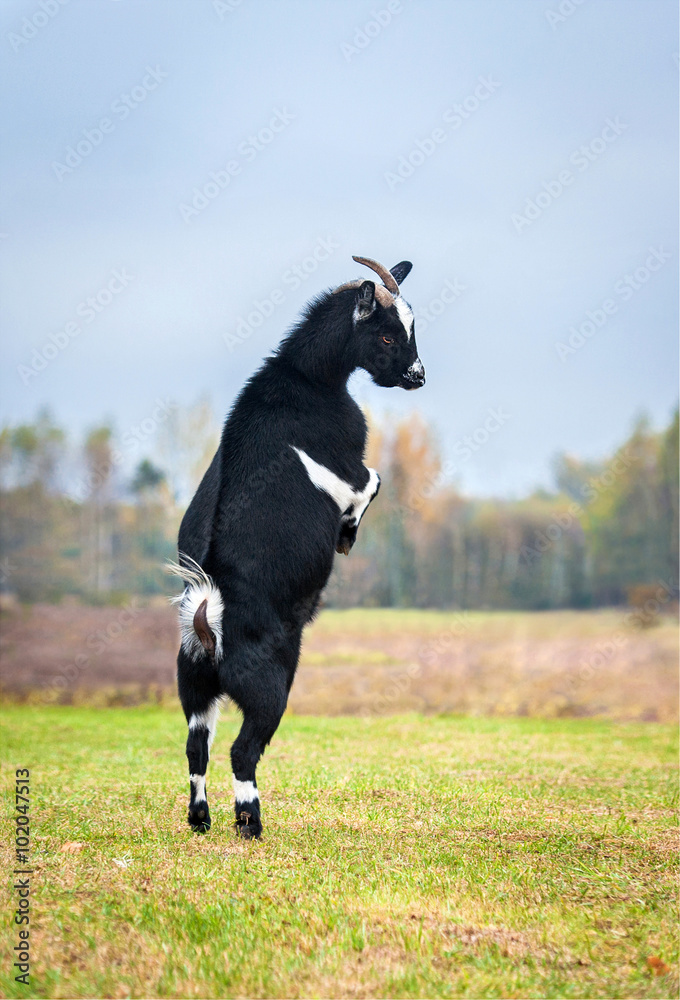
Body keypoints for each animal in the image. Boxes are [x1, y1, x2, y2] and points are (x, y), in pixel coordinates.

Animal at [170, 255, 425, 838]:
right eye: (386, 332)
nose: (418, 376)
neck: (307, 381)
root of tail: (209, 623)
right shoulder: (347, 470)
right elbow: (374, 481)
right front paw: (348, 535)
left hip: (194, 687)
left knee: (198, 747)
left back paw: (202, 819)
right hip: (271, 684)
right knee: (242, 750)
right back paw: (250, 823)